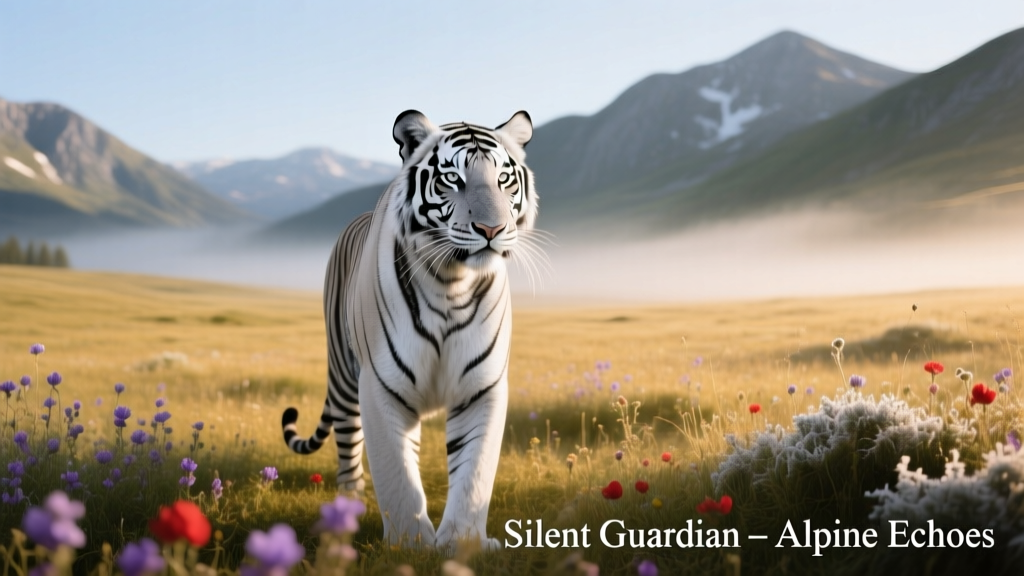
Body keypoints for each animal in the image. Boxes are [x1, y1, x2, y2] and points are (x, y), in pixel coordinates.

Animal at [281, 110, 540, 550]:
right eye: (453, 178)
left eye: (504, 178)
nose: (491, 230)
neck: (452, 284)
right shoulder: (381, 385)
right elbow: (396, 471)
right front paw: (410, 545)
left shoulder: (481, 387)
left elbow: (474, 470)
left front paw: (462, 543)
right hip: (345, 376)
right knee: (349, 447)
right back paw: (348, 506)